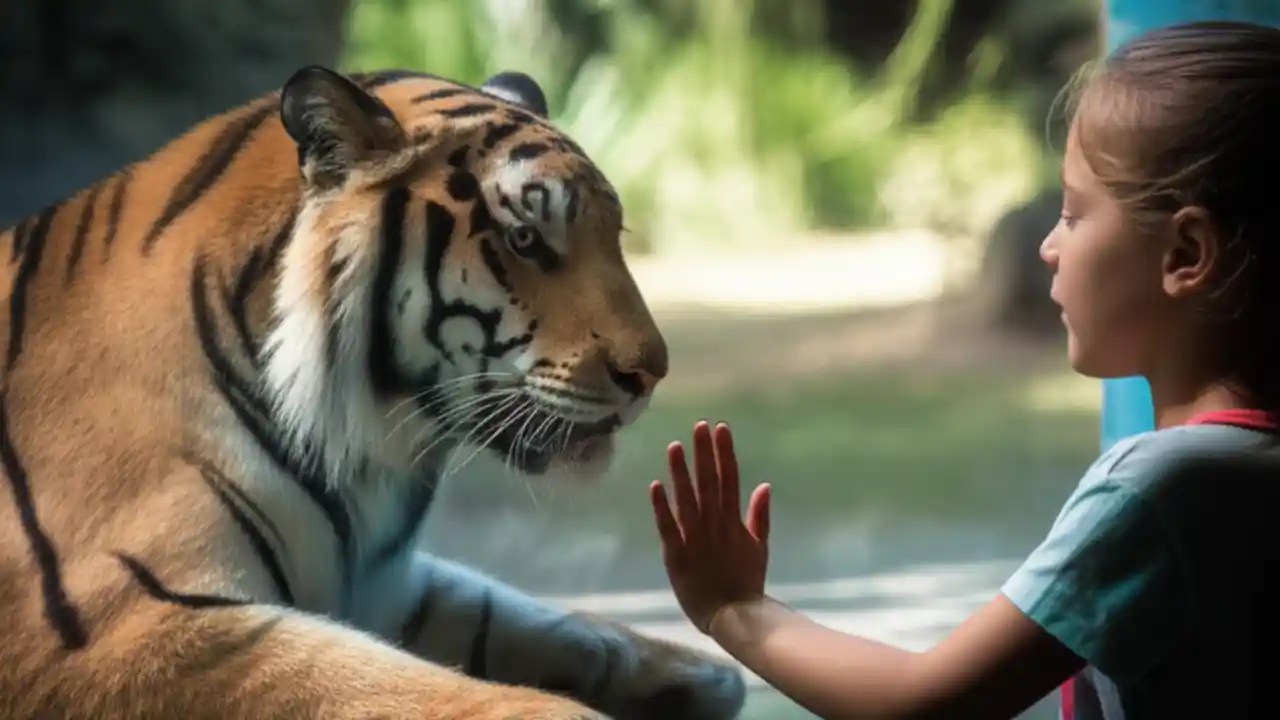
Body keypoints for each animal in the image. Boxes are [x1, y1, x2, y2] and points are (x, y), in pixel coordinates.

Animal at [0, 65, 747, 719]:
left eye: (613, 235)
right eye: (525, 239)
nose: (651, 371)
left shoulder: (382, 580)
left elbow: (521, 612)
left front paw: (696, 670)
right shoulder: (119, 626)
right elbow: (399, 688)